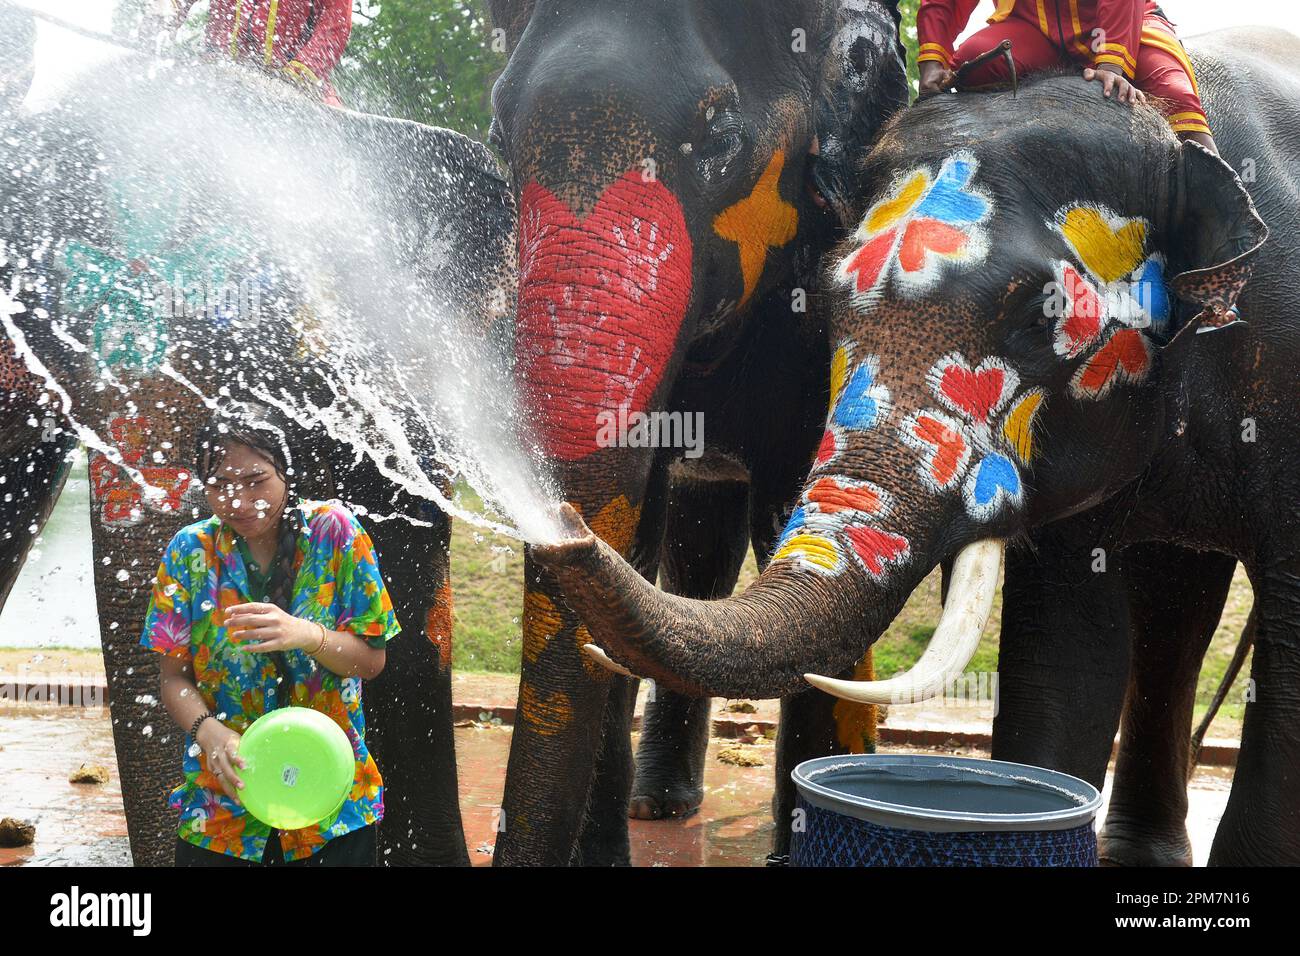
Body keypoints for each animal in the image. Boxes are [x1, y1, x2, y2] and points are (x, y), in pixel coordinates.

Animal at [483, 0, 908, 864]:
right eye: (498, 135)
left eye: (718, 137)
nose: (562, 529)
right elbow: (638, 528)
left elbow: (797, 515)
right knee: (696, 550)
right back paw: (656, 806)